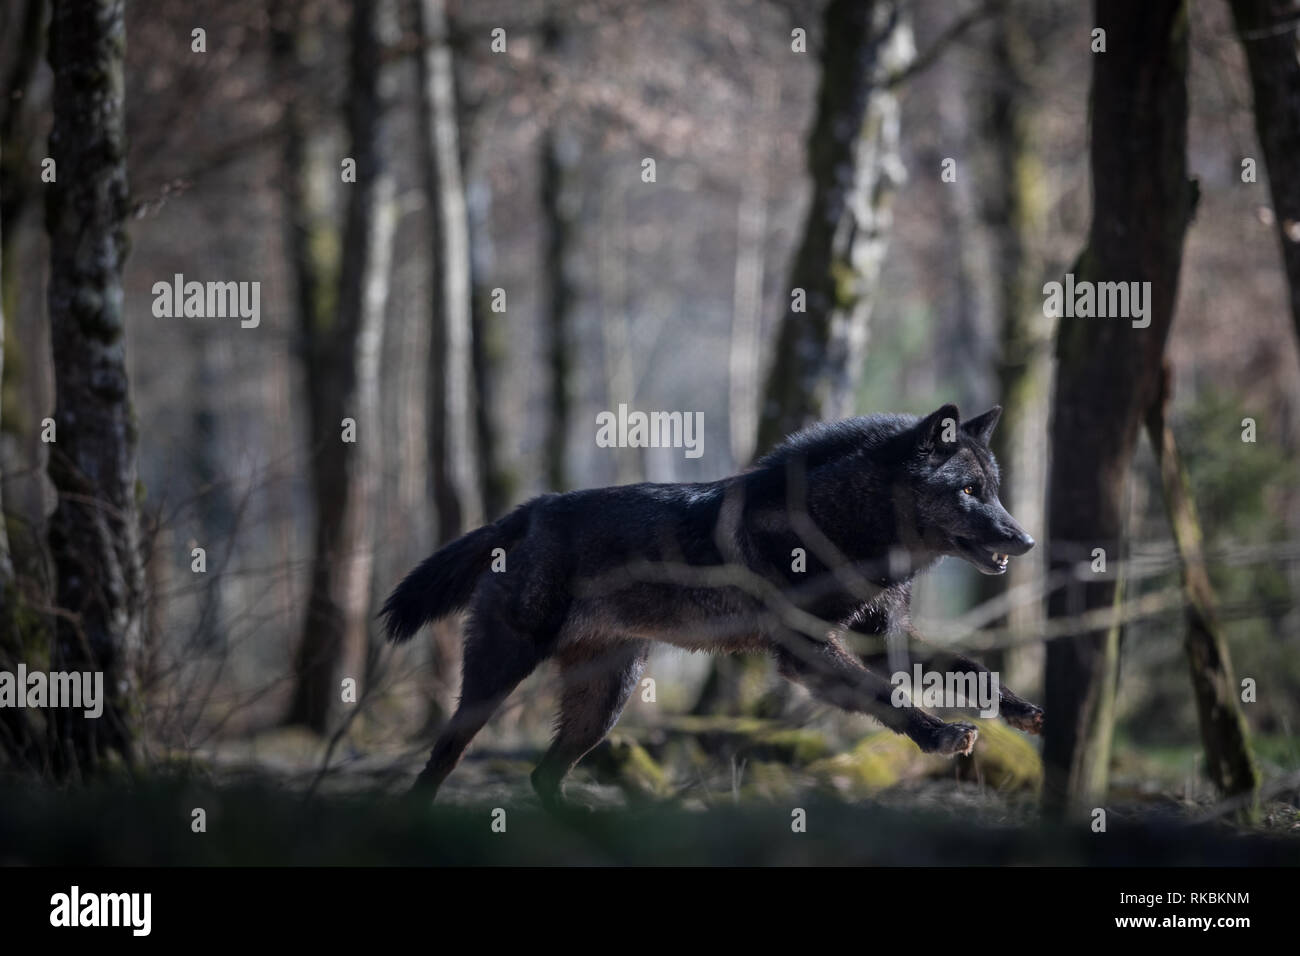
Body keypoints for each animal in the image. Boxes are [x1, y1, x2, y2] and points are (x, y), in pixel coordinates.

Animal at [381, 403, 1043, 806]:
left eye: (995, 490)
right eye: (968, 490)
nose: (1026, 541)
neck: (846, 529)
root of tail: (530, 511)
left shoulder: (884, 638)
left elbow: (967, 666)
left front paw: (1020, 709)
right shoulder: (804, 649)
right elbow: (885, 695)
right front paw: (939, 735)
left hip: (607, 702)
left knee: (543, 776)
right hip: (500, 677)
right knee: (441, 760)